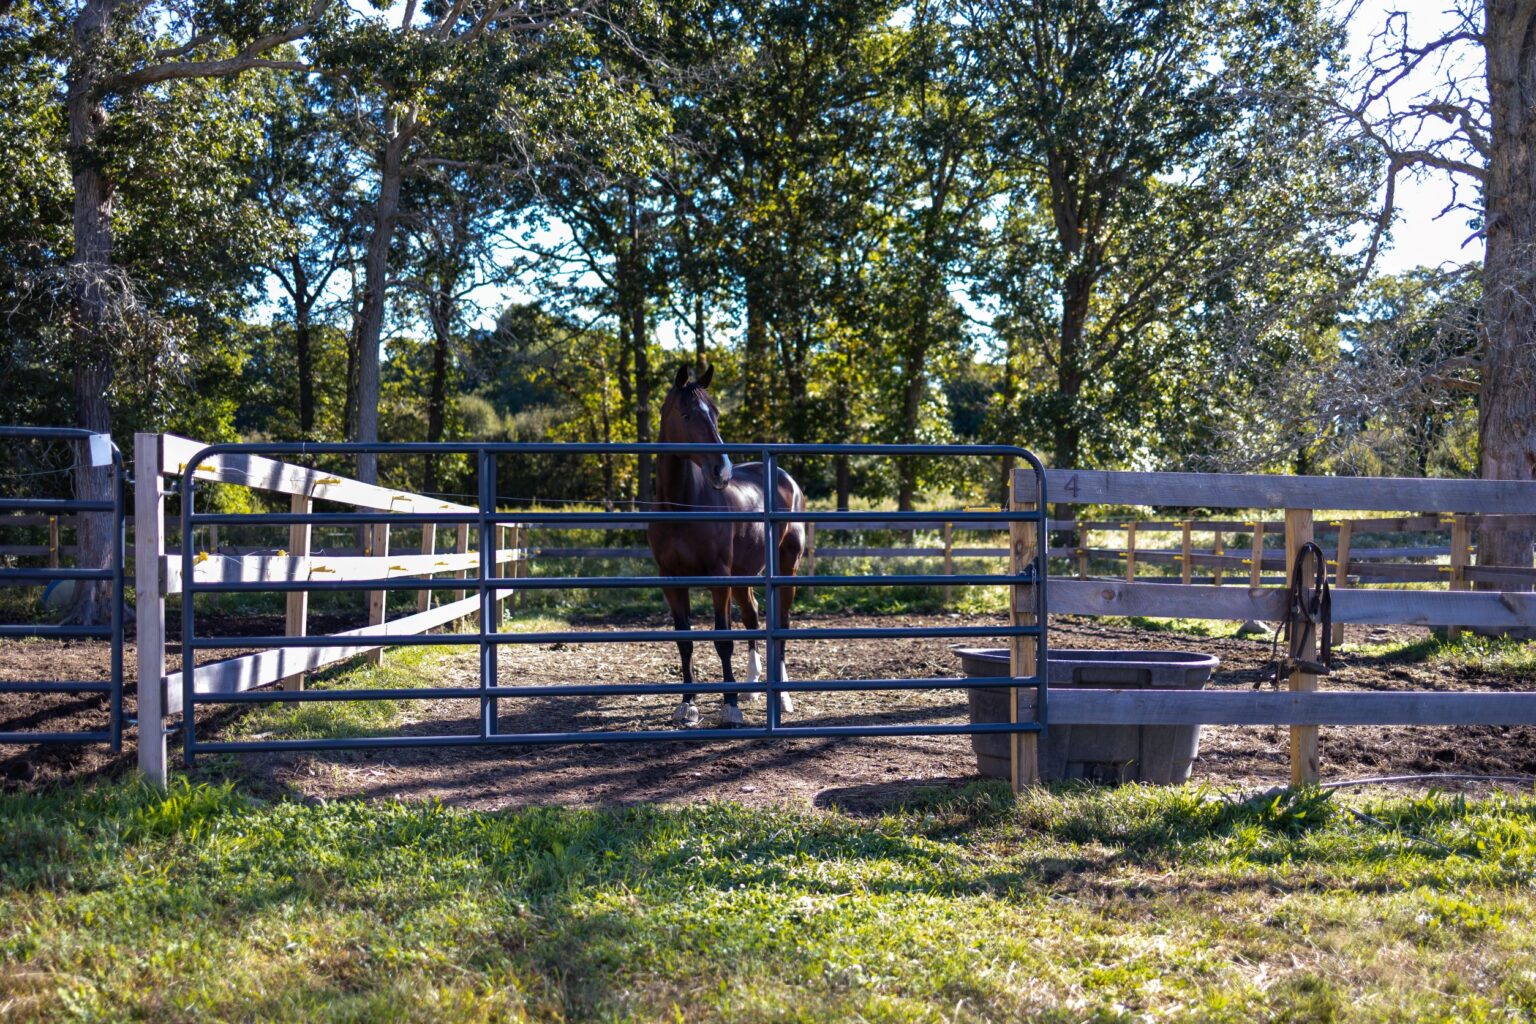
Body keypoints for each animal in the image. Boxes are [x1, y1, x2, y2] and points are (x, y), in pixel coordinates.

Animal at [647, 363, 805, 727]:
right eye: (687, 414)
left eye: (716, 413)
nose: (722, 470)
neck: (683, 506)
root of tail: (785, 478)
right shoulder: (671, 580)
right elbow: (685, 642)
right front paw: (688, 705)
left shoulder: (719, 578)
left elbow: (723, 640)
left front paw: (730, 707)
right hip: (745, 574)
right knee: (753, 616)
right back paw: (752, 686)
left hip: (785, 568)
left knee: (782, 622)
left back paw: (782, 697)